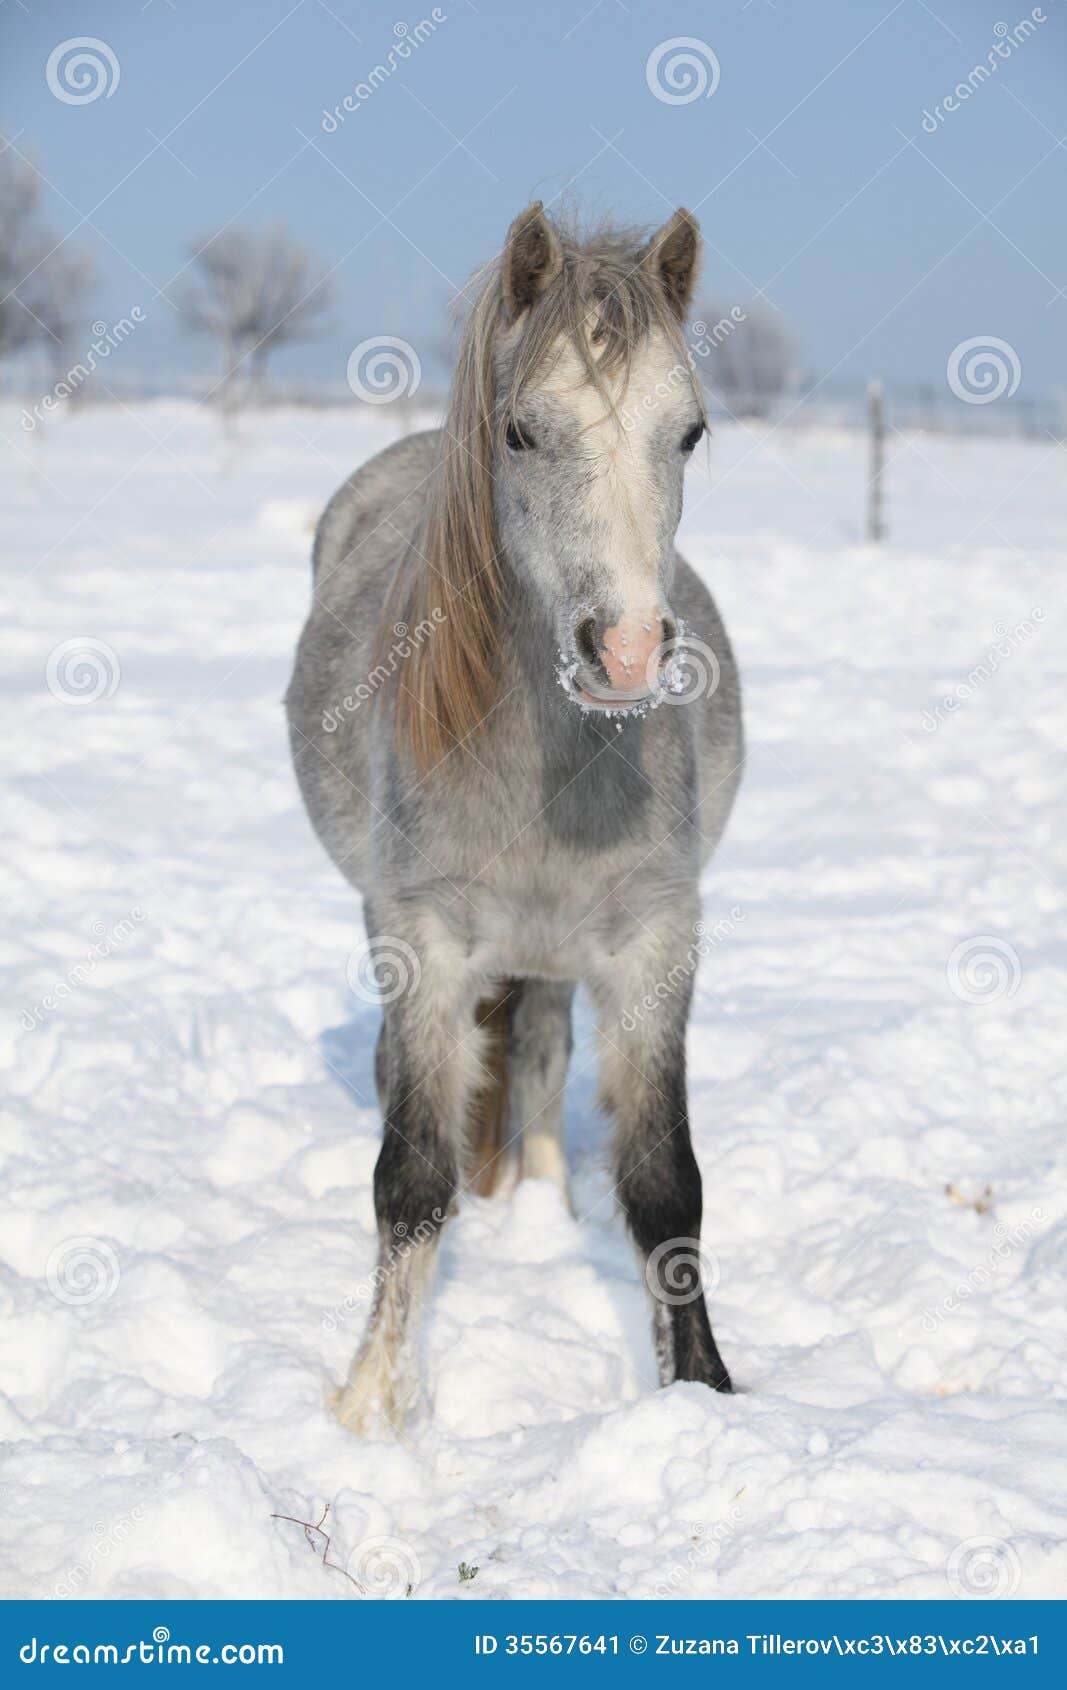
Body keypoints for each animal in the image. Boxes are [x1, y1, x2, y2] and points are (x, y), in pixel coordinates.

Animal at [286, 202, 744, 1435]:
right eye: (522, 434)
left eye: (688, 433)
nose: (626, 653)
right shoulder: (424, 940)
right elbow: (409, 1174)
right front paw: (369, 1405)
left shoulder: (655, 940)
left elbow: (665, 1184)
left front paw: (703, 1396)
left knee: (538, 1051)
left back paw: (541, 1211)